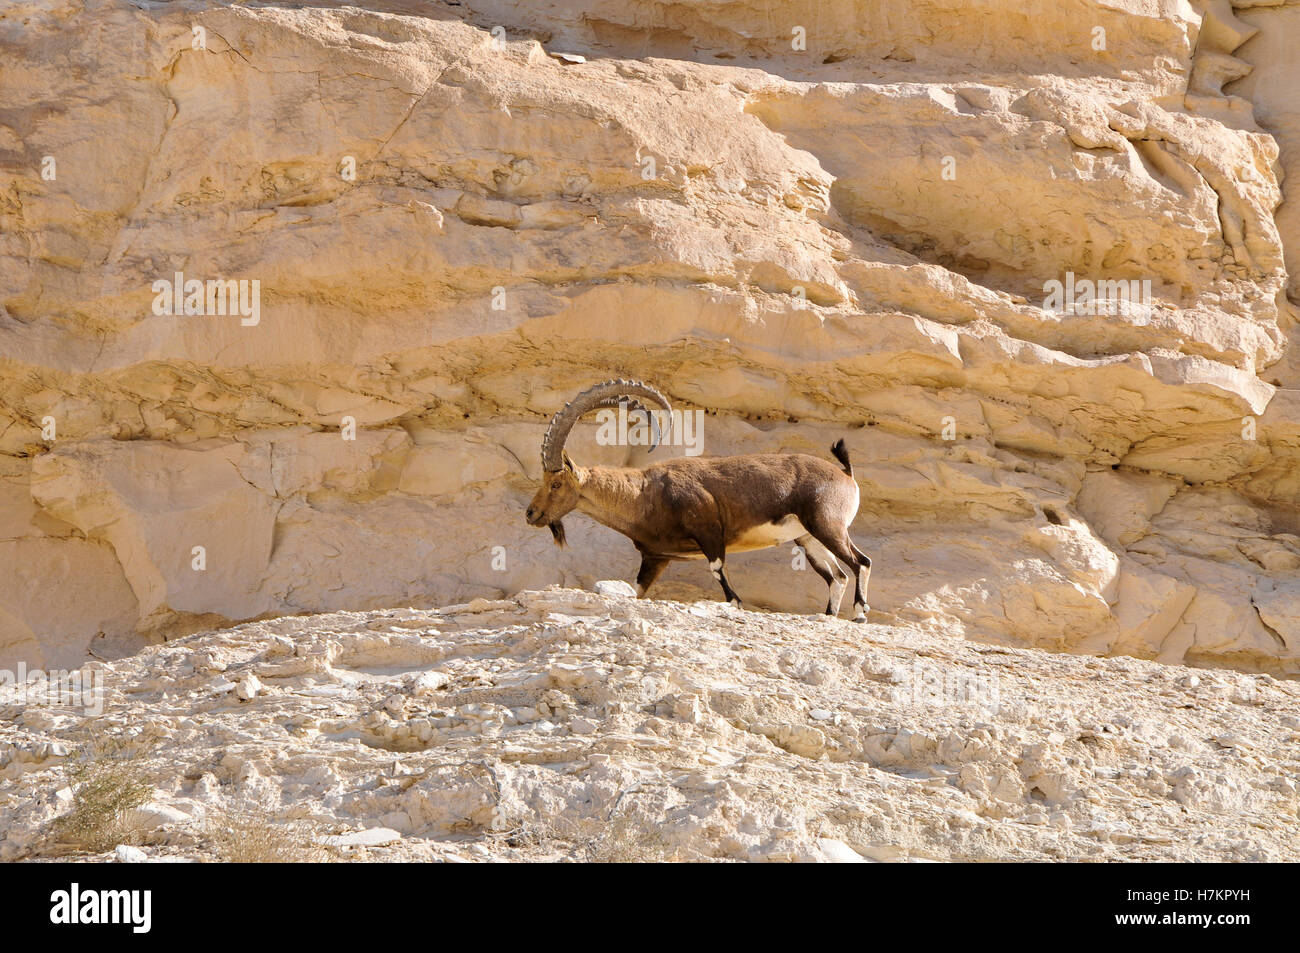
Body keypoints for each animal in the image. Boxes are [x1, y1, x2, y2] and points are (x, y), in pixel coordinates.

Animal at [524, 380, 872, 620]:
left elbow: (723, 580)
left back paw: (860, 613)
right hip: (807, 538)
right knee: (837, 576)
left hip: (828, 524)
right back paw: (828, 616)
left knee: (861, 562)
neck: (643, 495)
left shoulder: (710, 533)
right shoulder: (655, 558)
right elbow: (636, 591)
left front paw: (735, 603)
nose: (531, 513)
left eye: (556, 483)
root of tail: (845, 474)